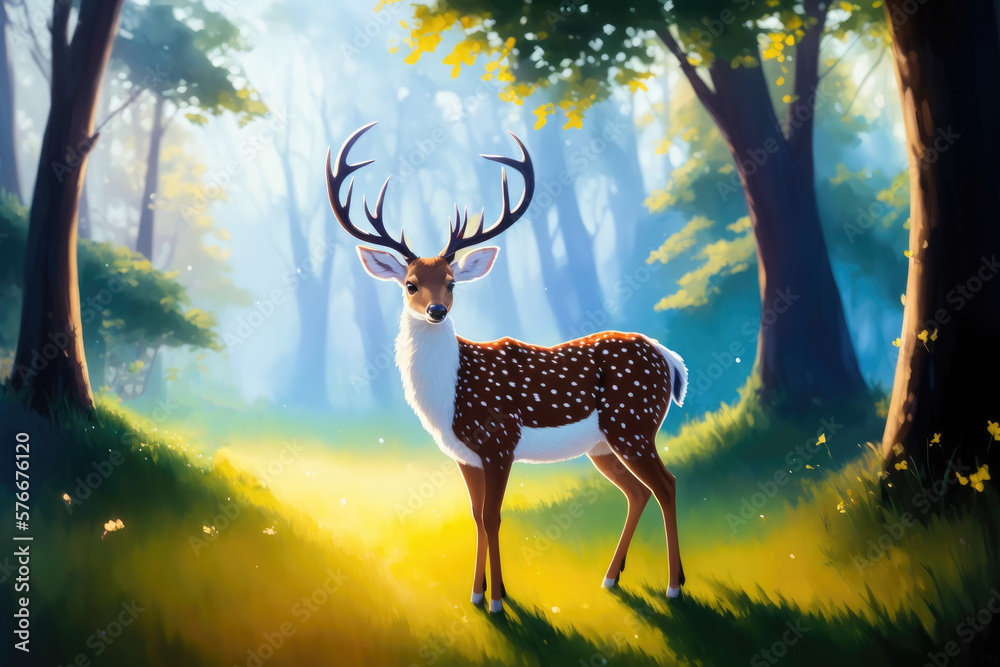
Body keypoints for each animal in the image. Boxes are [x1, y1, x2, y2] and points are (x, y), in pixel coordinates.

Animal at [326, 122, 688, 613]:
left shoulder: (499, 440)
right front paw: (477, 595)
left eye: (452, 282)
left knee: (666, 484)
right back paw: (611, 580)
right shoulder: (466, 455)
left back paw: (674, 586)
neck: (451, 397)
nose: (437, 311)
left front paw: (498, 600)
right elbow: (477, 516)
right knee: (637, 492)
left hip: (633, 421)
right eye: (411, 284)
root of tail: (668, 358)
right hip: (603, 443)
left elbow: (493, 517)